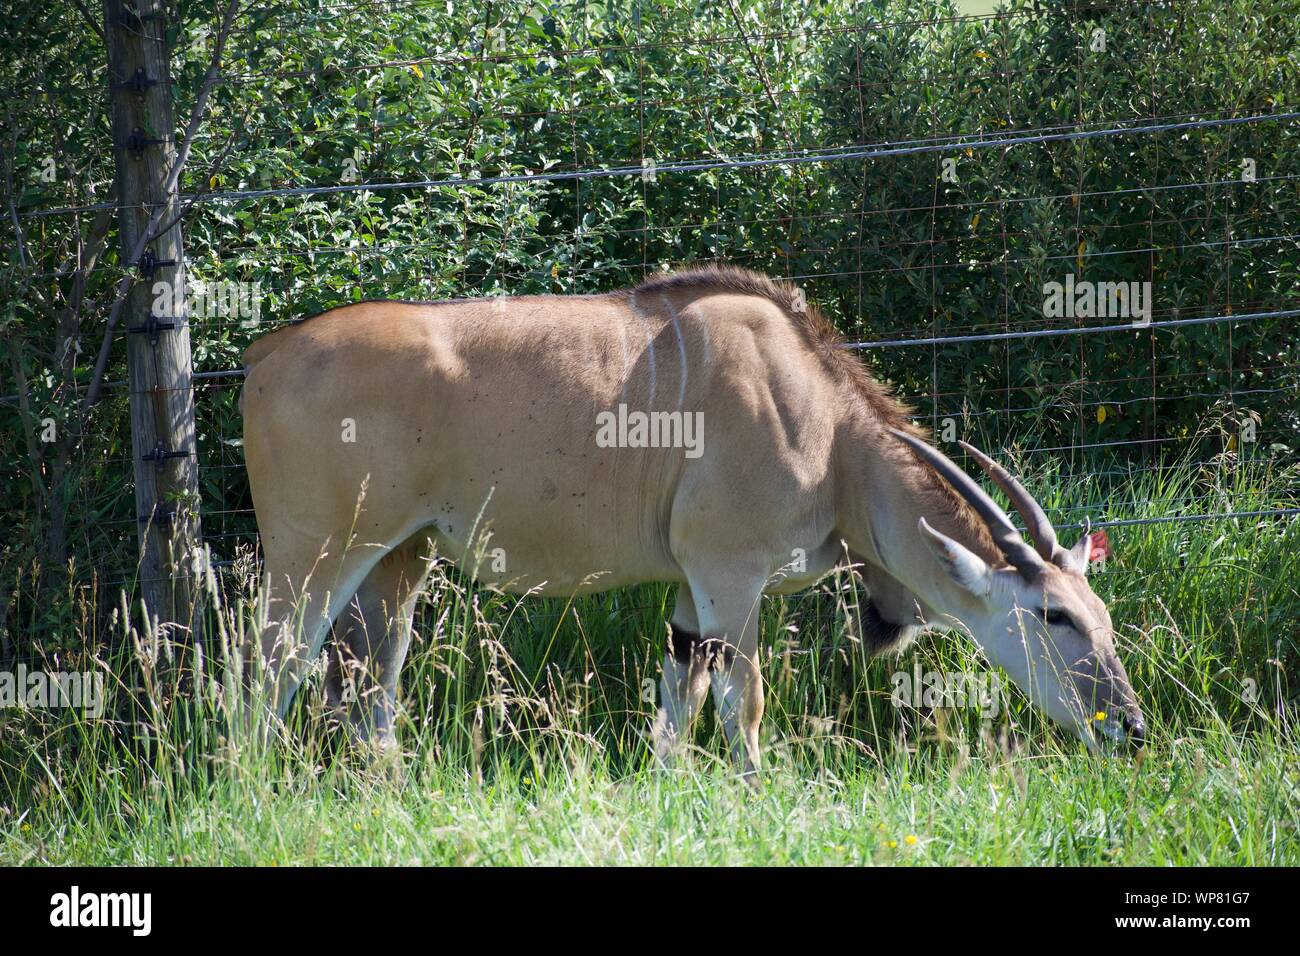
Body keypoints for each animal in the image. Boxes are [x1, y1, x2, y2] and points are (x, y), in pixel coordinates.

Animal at [239, 265, 1145, 772]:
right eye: (1053, 616)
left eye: (1101, 616)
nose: (1132, 727)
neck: (831, 434)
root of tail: (264, 354)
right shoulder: (728, 575)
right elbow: (743, 700)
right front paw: (755, 792)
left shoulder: (690, 591)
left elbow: (681, 692)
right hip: (314, 559)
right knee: (269, 669)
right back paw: (246, 784)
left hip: (400, 558)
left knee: (370, 683)